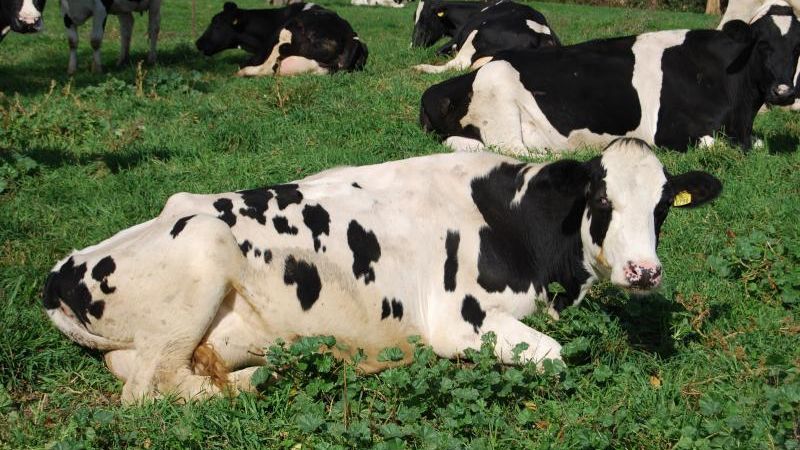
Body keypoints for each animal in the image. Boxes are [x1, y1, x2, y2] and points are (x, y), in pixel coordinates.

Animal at [43, 138, 722, 404]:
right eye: (601, 199)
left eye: (664, 204)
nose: (644, 272)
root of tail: (58, 273)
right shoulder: (458, 319)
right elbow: (554, 357)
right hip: (204, 243)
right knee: (142, 393)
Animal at [413, 0, 560, 74]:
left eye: (423, 18)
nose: (413, 45)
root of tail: (545, 36)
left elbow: (438, 51)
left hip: (477, 35)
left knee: (457, 65)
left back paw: (422, 67)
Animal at [419, 5, 800, 153]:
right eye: (761, 43)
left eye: (798, 45)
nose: (784, 92)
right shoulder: (670, 133)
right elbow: (713, 144)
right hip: (500, 95)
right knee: (518, 151)